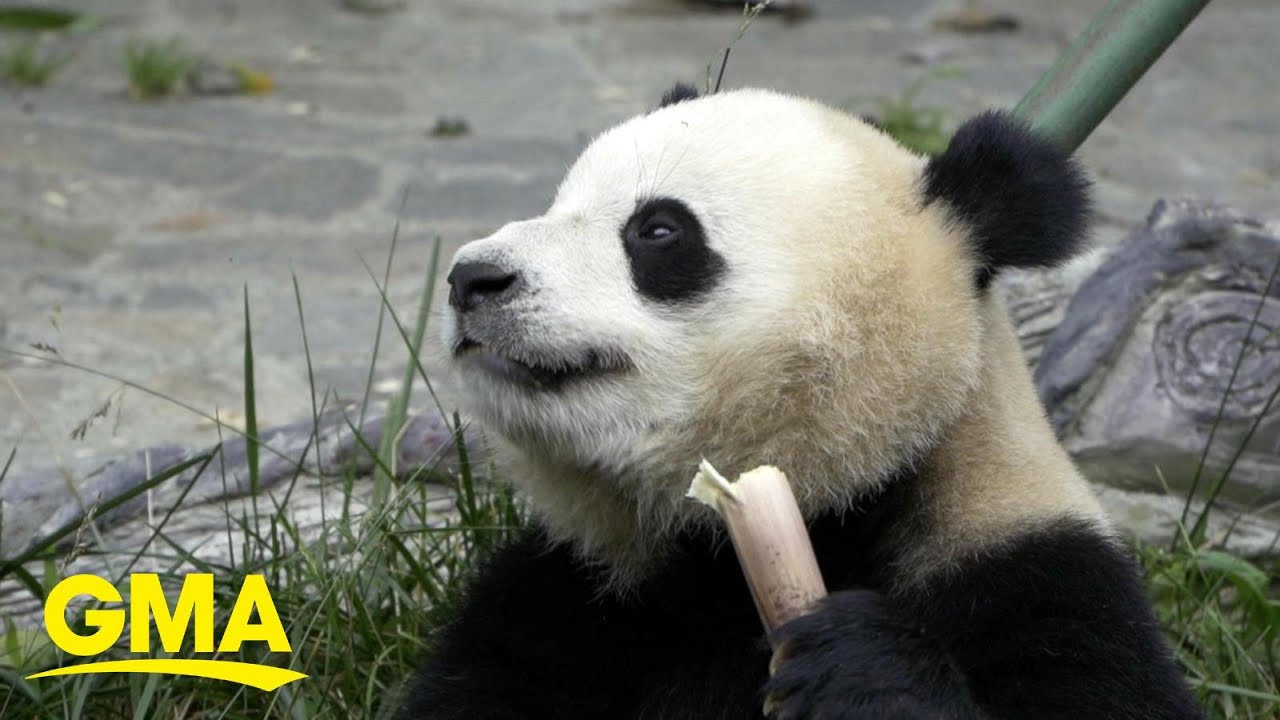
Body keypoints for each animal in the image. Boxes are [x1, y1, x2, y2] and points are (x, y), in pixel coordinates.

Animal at [398, 85, 1204, 719]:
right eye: (558, 203)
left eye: (657, 229)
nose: (473, 279)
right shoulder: (576, 592)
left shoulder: (1034, 571)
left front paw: (861, 664)